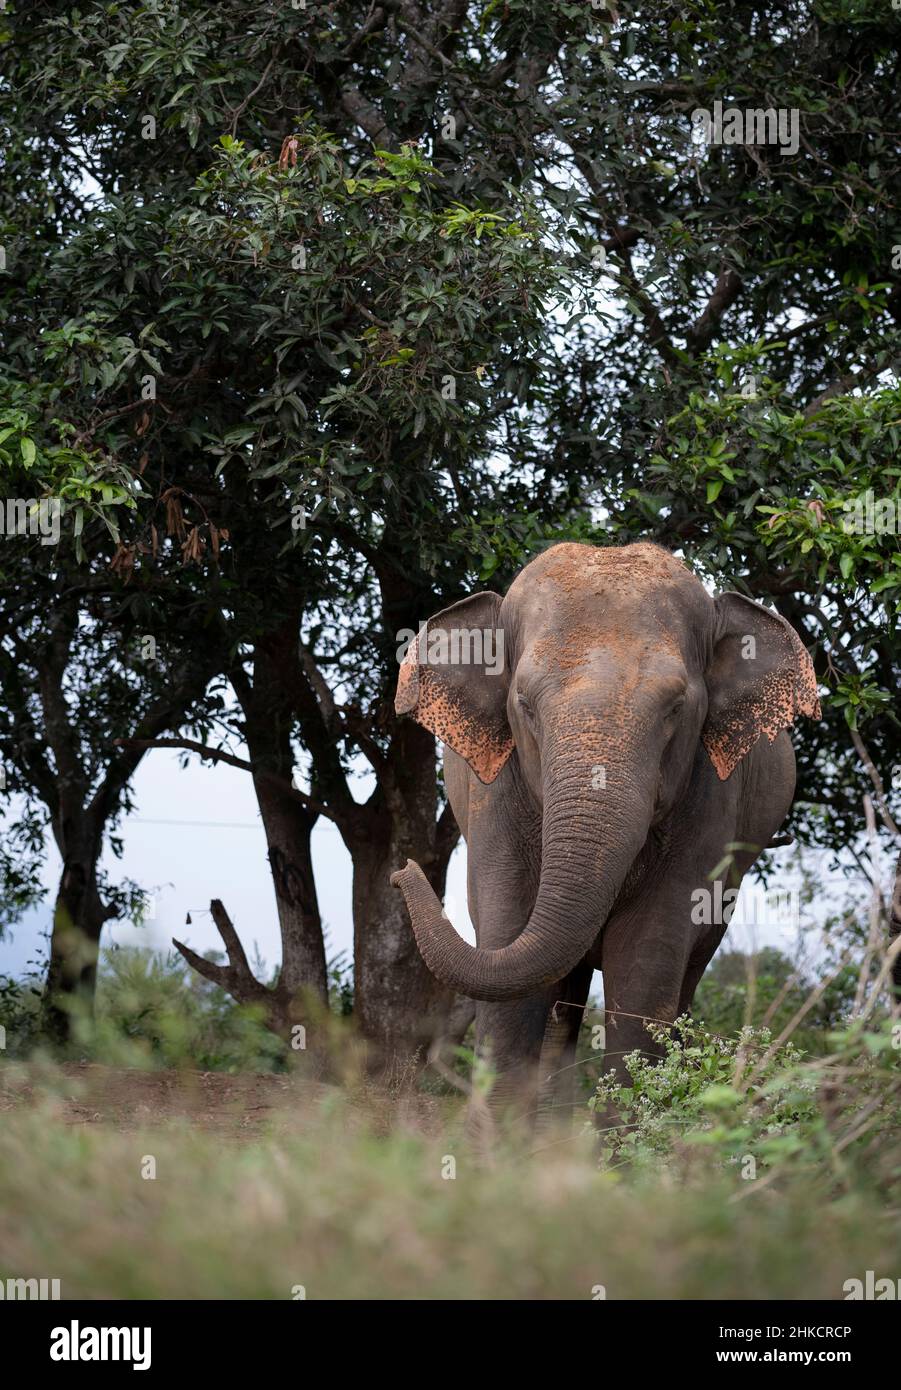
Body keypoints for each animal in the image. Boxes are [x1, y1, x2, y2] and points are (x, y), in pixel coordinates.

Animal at [390, 541, 820, 1132]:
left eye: (677, 708)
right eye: (524, 705)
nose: (402, 870)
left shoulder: (710, 798)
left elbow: (648, 954)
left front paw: (624, 1143)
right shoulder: (494, 795)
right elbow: (508, 926)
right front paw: (501, 1145)